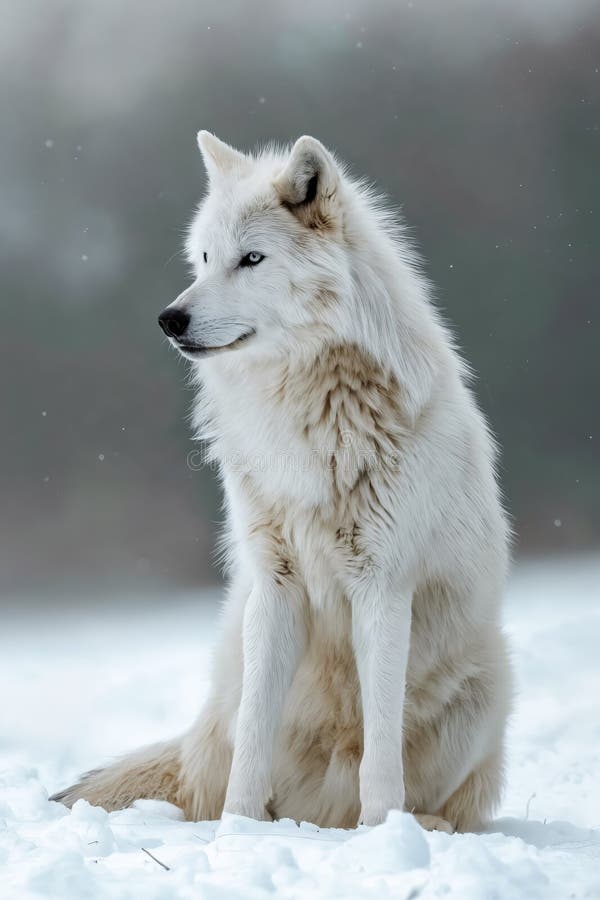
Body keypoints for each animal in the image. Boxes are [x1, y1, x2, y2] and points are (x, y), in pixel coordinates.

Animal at [52, 133, 512, 832]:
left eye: (252, 259)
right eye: (205, 259)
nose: (170, 318)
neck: (305, 411)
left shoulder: (382, 585)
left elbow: (381, 747)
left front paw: (385, 832)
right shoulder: (274, 584)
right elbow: (254, 740)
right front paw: (239, 829)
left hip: (489, 682)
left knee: (435, 796)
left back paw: (417, 825)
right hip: (232, 673)